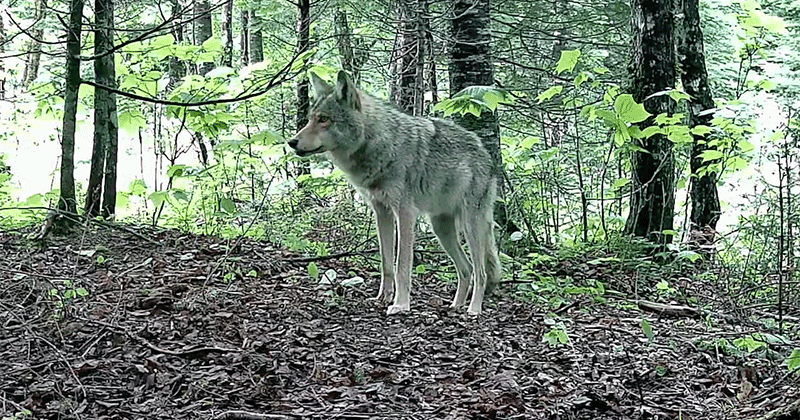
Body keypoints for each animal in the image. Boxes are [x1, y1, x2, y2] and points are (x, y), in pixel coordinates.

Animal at [288, 70, 501, 315]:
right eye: (311, 119)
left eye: (323, 119)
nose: (291, 142)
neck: (379, 144)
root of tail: (487, 154)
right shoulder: (382, 213)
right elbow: (386, 263)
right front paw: (382, 298)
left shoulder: (405, 213)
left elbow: (401, 266)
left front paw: (400, 305)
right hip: (441, 229)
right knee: (466, 269)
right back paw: (455, 306)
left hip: (469, 226)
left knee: (480, 272)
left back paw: (473, 310)